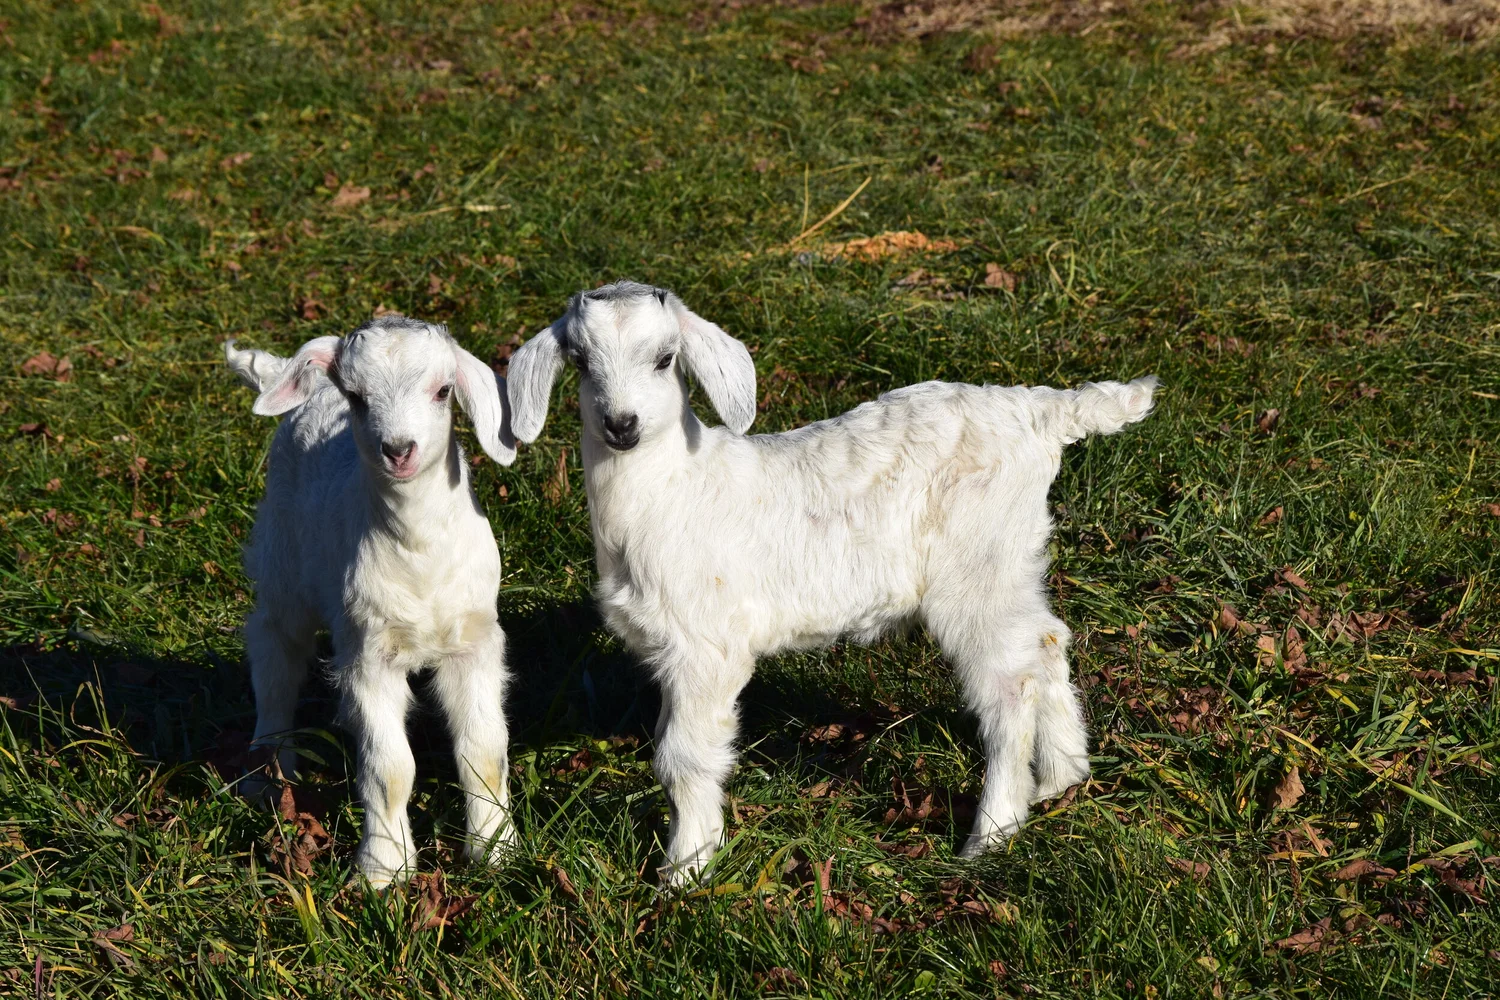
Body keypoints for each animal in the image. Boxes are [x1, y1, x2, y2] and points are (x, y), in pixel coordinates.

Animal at [224, 315, 517, 887]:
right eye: (357, 397)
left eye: (443, 390)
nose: (398, 449)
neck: (417, 548)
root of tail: (310, 390)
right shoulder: (371, 654)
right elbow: (390, 769)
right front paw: (384, 868)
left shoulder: (474, 642)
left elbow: (483, 752)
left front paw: (497, 851)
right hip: (284, 560)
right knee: (276, 655)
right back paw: (268, 770)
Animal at [505, 281, 1157, 882]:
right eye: (580, 361)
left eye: (666, 357)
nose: (621, 425)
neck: (673, 488)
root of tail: (1040, 414)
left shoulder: (707, 648)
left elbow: (683, 758)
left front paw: (685, 872)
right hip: (1010, 560)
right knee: (1045, 640)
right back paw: (1060, 777)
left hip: (973, 567)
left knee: (1007, 688)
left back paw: (989, 836)